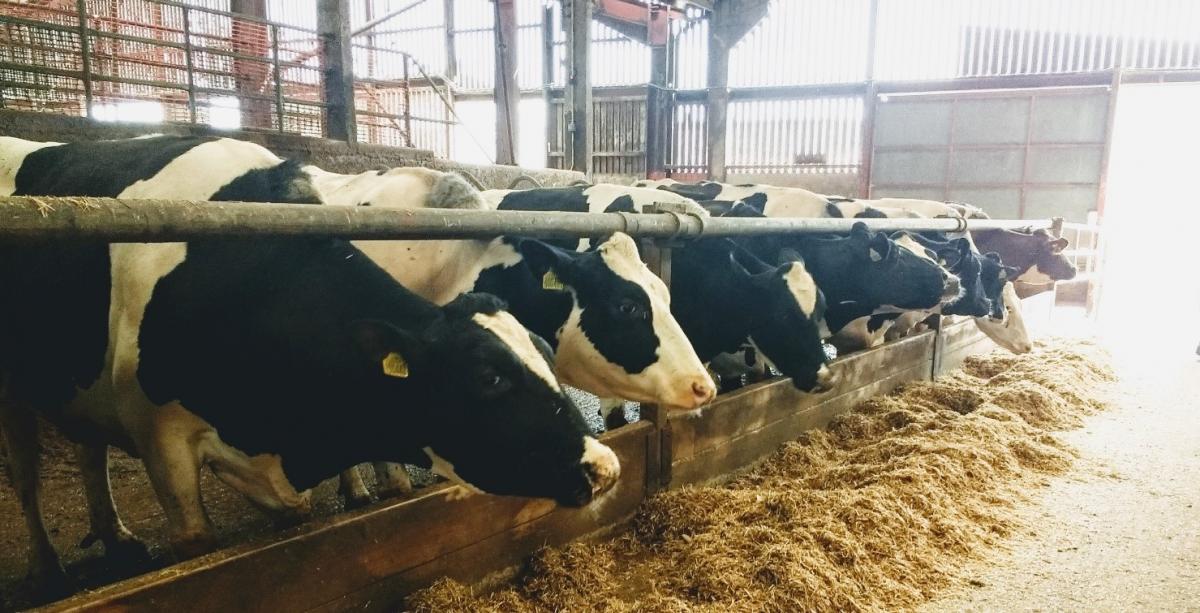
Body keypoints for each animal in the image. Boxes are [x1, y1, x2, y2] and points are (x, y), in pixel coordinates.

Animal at [0, 135, 619, 596]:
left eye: (544, 353)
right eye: (490, 378)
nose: (605, 466)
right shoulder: (161, 435)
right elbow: (199, 547)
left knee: (87, 446)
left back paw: (115, 535)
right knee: (27, 473)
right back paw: (48, 568)